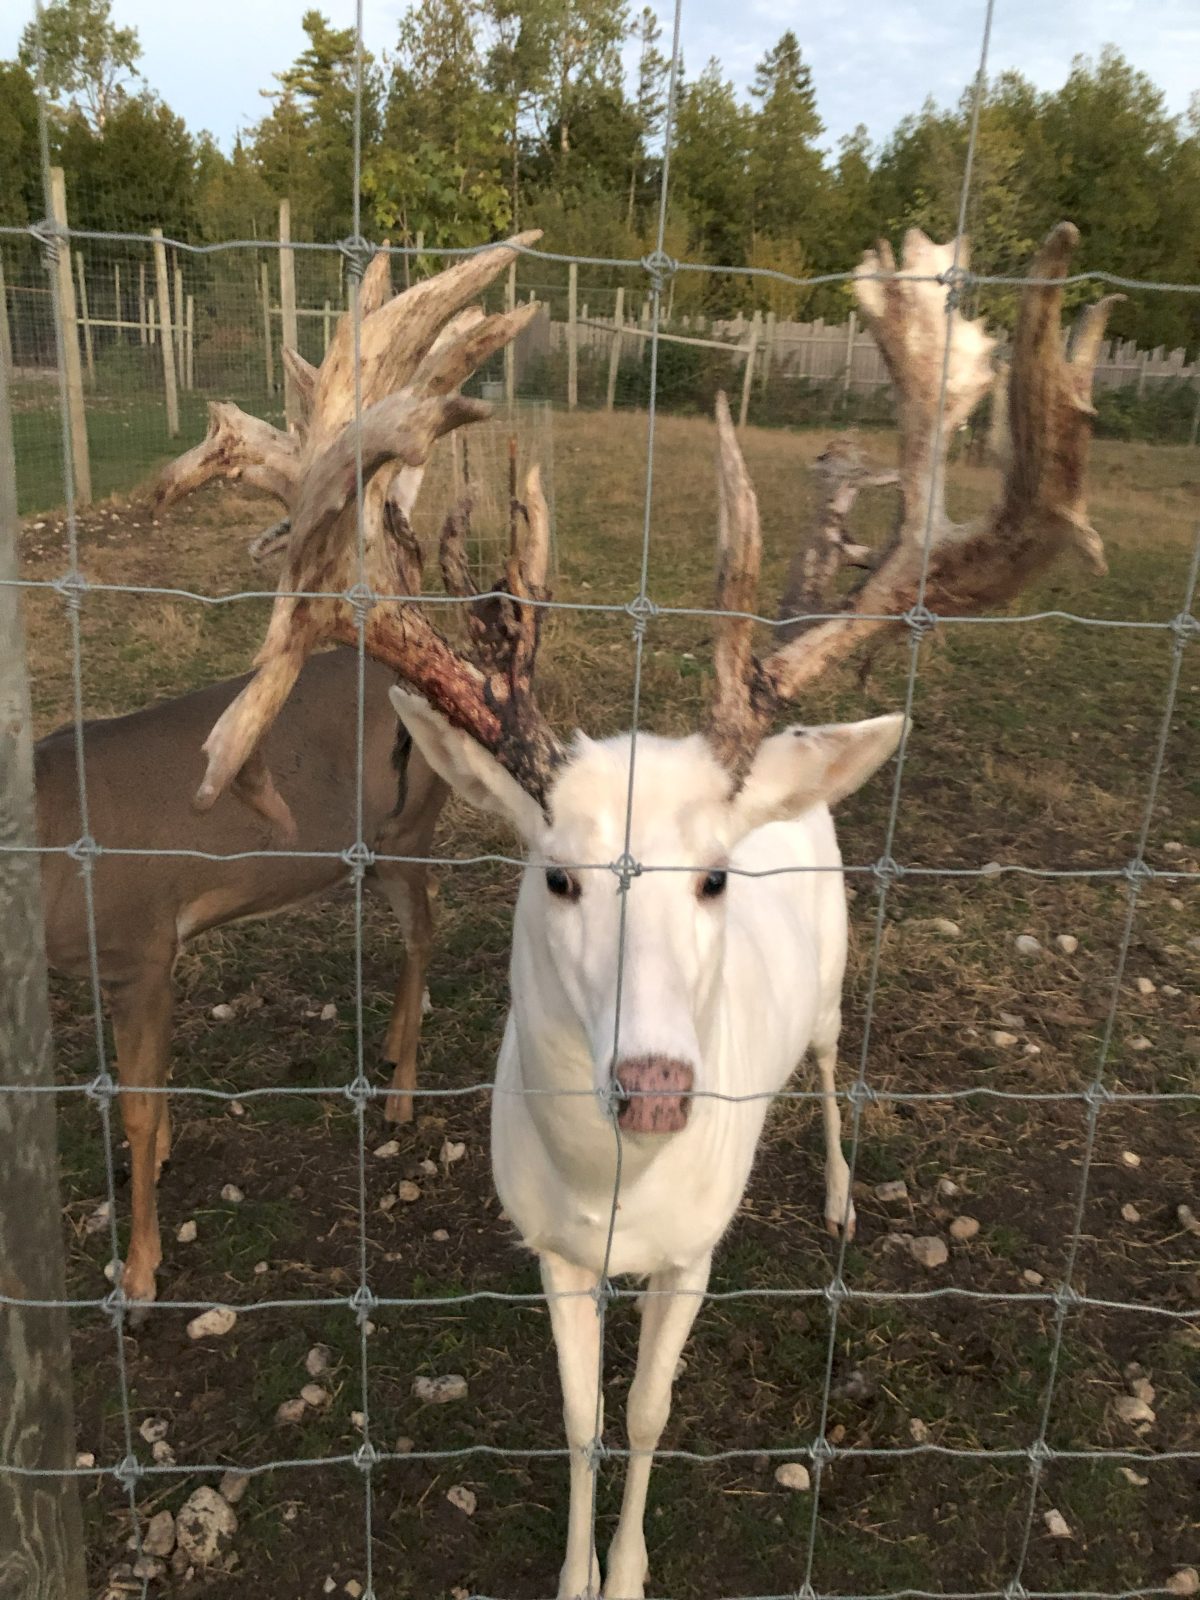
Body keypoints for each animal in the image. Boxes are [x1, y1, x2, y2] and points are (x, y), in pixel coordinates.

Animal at [36, 231, 541, 1309]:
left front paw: (140, 1273)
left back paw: (398, 1097)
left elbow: (137, 1105)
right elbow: (146, 1089)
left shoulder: (142, 937)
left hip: (408, 823)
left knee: (429, 929)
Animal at [182, 221, 1115, 1597]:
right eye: (558, 872)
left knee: (830, 1063)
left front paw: (626, 1570)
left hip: (832, 981)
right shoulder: (551, 1249)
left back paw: (841, 1198)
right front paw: (576, 1572)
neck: (615, 1197)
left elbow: (651, 1412)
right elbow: (578, 1416)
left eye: (714, 875)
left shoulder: (692, 1254)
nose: (659, 1084)